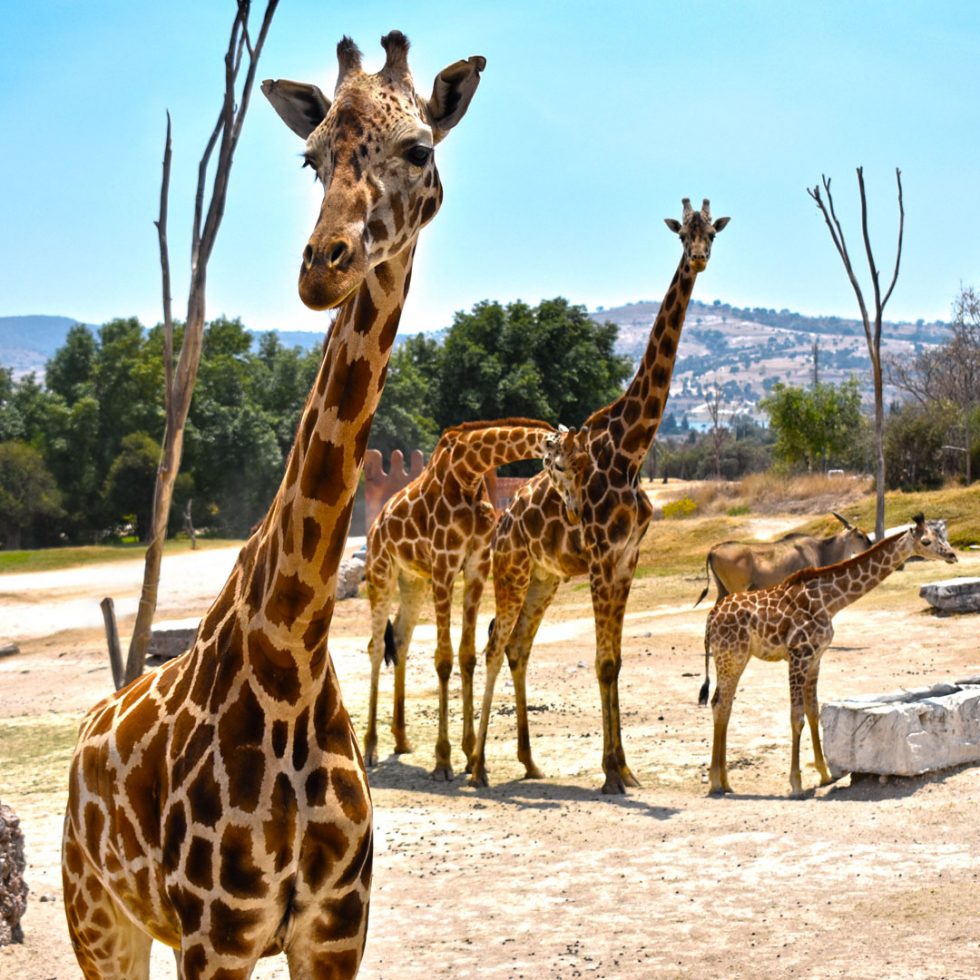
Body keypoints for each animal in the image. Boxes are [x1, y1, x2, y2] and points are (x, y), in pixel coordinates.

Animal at [61, 33, 484, 979]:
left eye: (419, 149)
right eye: (311, 157)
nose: (323, 266)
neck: (291, 655)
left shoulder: (334, 930)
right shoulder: (217, 934)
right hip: (99, 920)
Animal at [363, 418, 581, 780]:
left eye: (585, 463)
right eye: (561, 465)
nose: (577, 512)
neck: (469, 472)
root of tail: (375, 524)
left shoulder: (477, 564)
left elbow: (467, 656)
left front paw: (469, 754)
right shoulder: (444, 564)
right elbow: (443, 658)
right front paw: (443, 760)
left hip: (413, 581)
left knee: (402, 641)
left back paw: (402, 741)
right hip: (382, 571)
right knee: (377, 646)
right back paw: (370, 749)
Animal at [469, 198, 730, 794]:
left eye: (713, 233)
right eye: (682, 233)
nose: (699, 258)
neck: (632, 447)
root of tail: (502, 522)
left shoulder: (626, 560)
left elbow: (616, 661)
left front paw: (626, 769)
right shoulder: (600, 558)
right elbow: (602, 661)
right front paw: (611, 773)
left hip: (543, 578)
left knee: (518, 645)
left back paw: (528, 761)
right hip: (512, 570)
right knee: (494, 642)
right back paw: (477, 767)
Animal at [700, 513, 958, 798]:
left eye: (940, 536)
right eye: (926, 541)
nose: (952, 555)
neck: (830, 601)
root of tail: (711, 617)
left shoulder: (816, 658)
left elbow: (813, 711)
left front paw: (823, 775)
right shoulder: (798, 655)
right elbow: (796, 716)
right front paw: (796, 783)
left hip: (735, 656)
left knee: (722, 703)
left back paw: (725, 782)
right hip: (730, 654)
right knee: (721, 704)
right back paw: (715, 781)